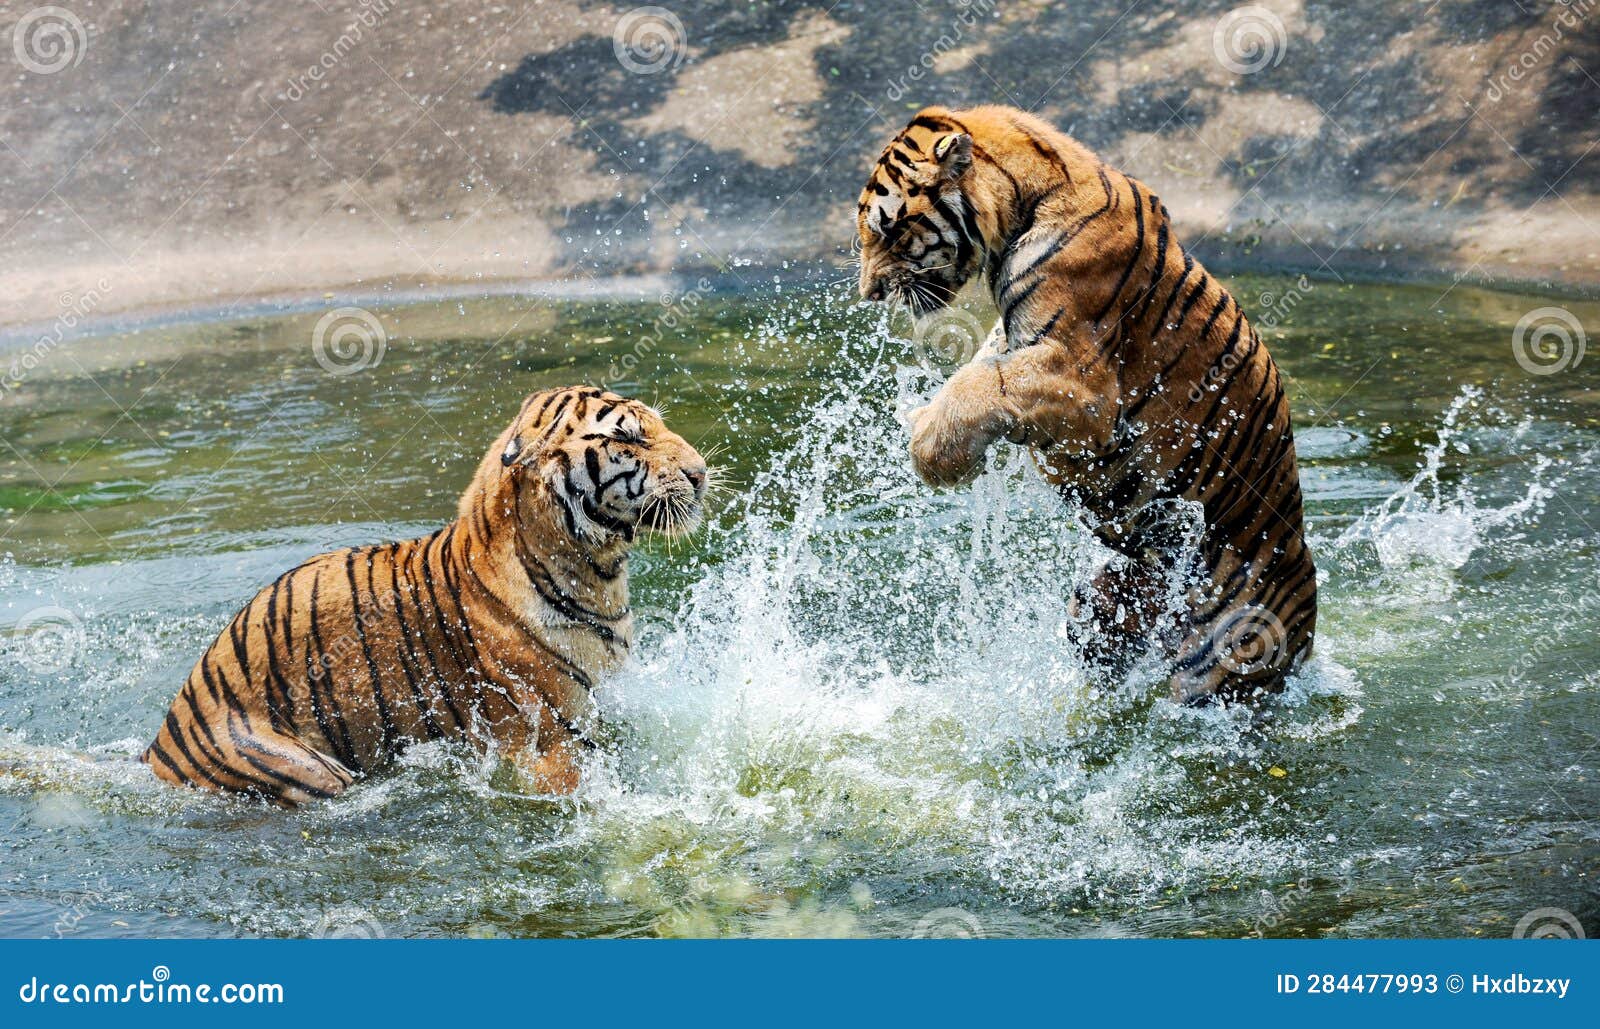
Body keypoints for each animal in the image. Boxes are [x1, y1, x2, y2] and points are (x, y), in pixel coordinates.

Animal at [142, 386, 708, 806]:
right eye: (629, 439)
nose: (701, 473)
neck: (595, 572)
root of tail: (159, 744)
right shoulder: (551, 744)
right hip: (303, 768)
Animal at [857, 104, 1317, 703]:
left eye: (887, 229)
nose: (868, 293)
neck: (1022, 205)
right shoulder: (1018, 340)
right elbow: (981, 365)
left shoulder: (1084, 384)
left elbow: (984, 384)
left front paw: (934, 451)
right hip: (1103, 608)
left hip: (1219, 664)